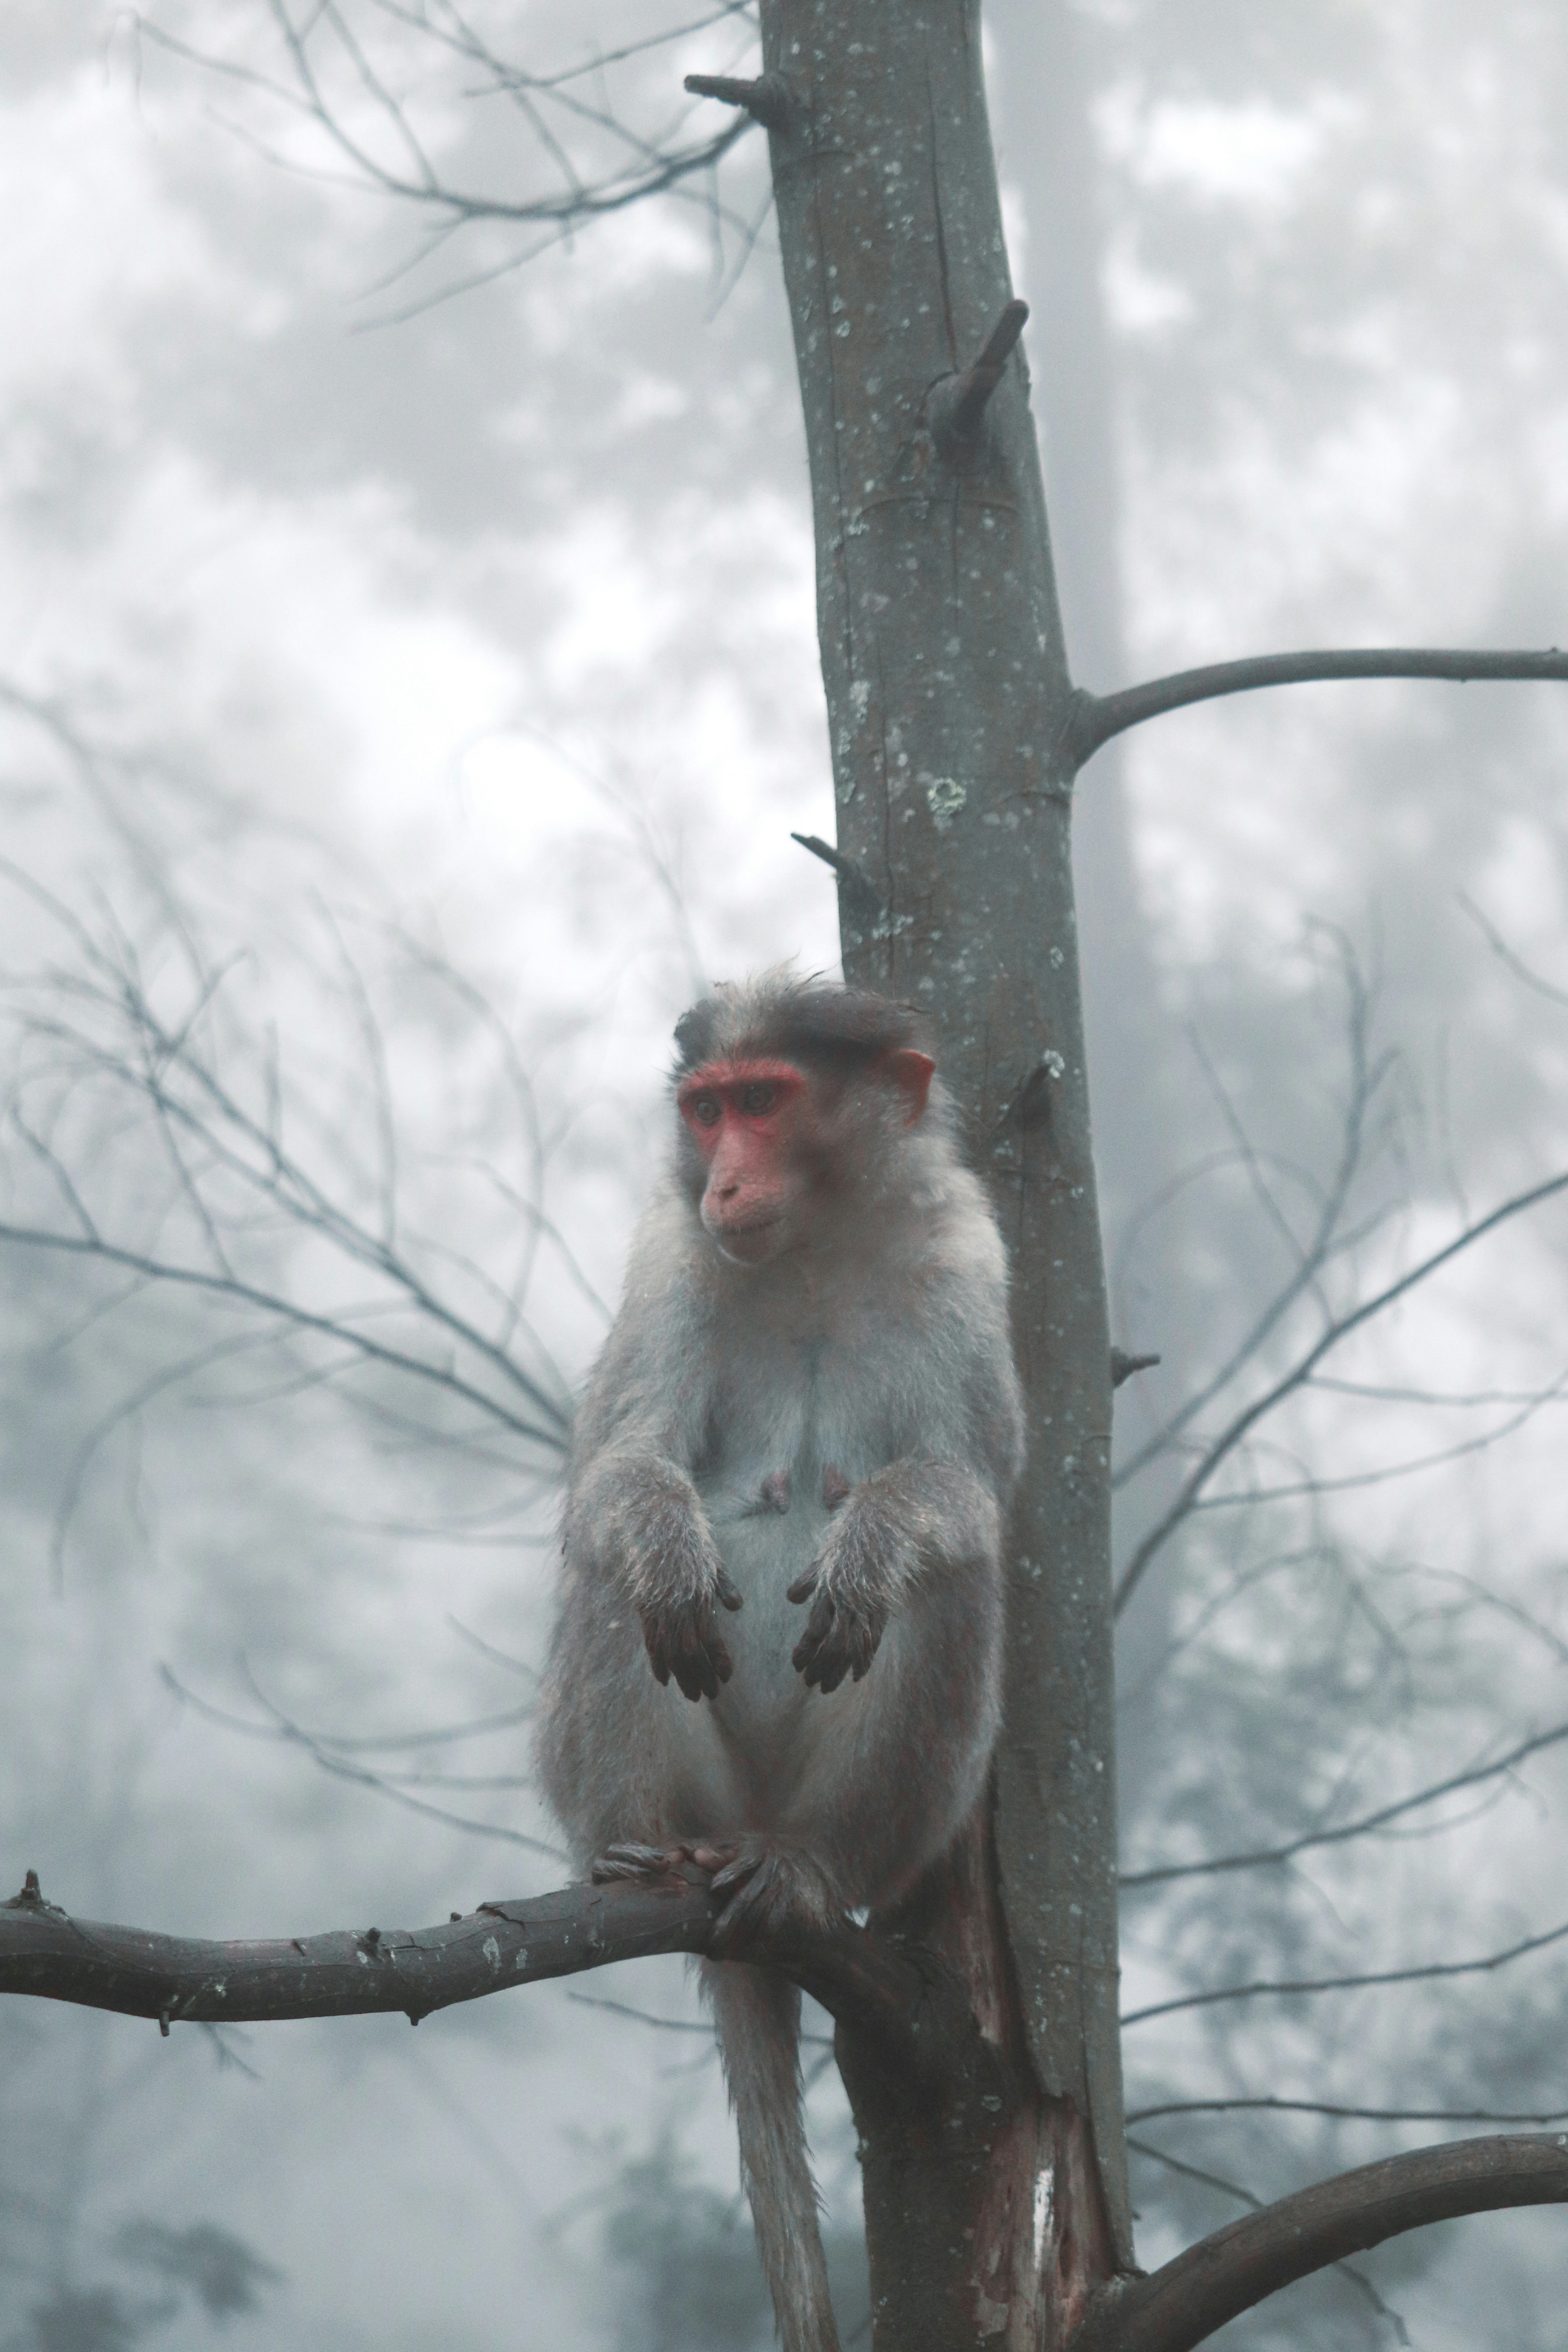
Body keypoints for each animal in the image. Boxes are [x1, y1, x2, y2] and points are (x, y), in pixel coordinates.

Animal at [536, 970, 1024, 2352]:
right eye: (707, 1109)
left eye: (765, 1099)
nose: (726, 1180)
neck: (812, 1244)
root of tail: (733, 1827)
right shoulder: (667, 1255)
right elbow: (613, 1470)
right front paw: (662, 1545)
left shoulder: (969, 1259)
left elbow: (974, 1490)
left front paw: (876, 1543)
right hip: (671, 1784)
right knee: (610, 1580)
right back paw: (629, 1853)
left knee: (956, 1589)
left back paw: (812, 1866)